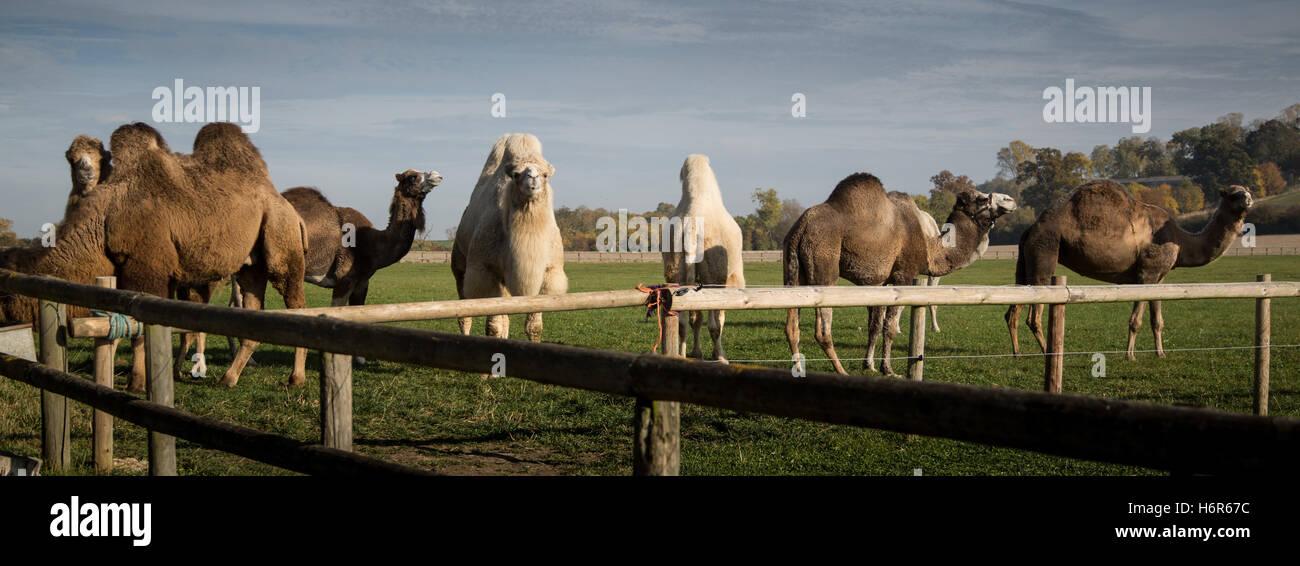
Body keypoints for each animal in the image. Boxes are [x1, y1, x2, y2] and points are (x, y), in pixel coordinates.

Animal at [452, 133, 567, 341]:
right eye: (516, 174)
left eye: (545, 174)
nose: (533, 179)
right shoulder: (486, 272)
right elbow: (493, 328)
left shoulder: (548, 274)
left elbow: (534, 327)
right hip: (460, 267)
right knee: (464, 314)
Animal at [660, 154, 745, 361]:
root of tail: (692, 226)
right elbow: (718, 318)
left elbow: (695, 318)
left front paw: (696, 352)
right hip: (715, 277)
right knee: (715, 324)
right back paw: (721, 357)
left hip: (677, 272)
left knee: (684, 321)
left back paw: (683, 355)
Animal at [783, 173, 1015, 376]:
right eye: (982, 198)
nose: (1010, 200)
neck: (930, 247)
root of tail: (801, 226)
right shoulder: (904, 275)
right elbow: (890, 326)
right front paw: (888, 369)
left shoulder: (882, 282)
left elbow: (875, 325)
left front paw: (869, 365)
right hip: (824, 261)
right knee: (822, 330)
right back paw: (841, 370)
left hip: (794, 269)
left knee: (792, 327)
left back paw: (800, 368)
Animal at [1005, 181, 1253, 360]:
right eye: (1233, 194)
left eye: (1247, 190)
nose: (1249, 200)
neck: (1181, 241)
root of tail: (1030, 228)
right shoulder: (1146, 274)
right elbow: (1136, 321)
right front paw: (1130, 355)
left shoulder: (1159, 279)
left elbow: (1157, 321)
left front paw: (1160, 354)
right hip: (1045, 249)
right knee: (1034, 316)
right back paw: (1049, 352)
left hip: (1026, 262)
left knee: (1013, 310)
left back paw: (1018, 353)